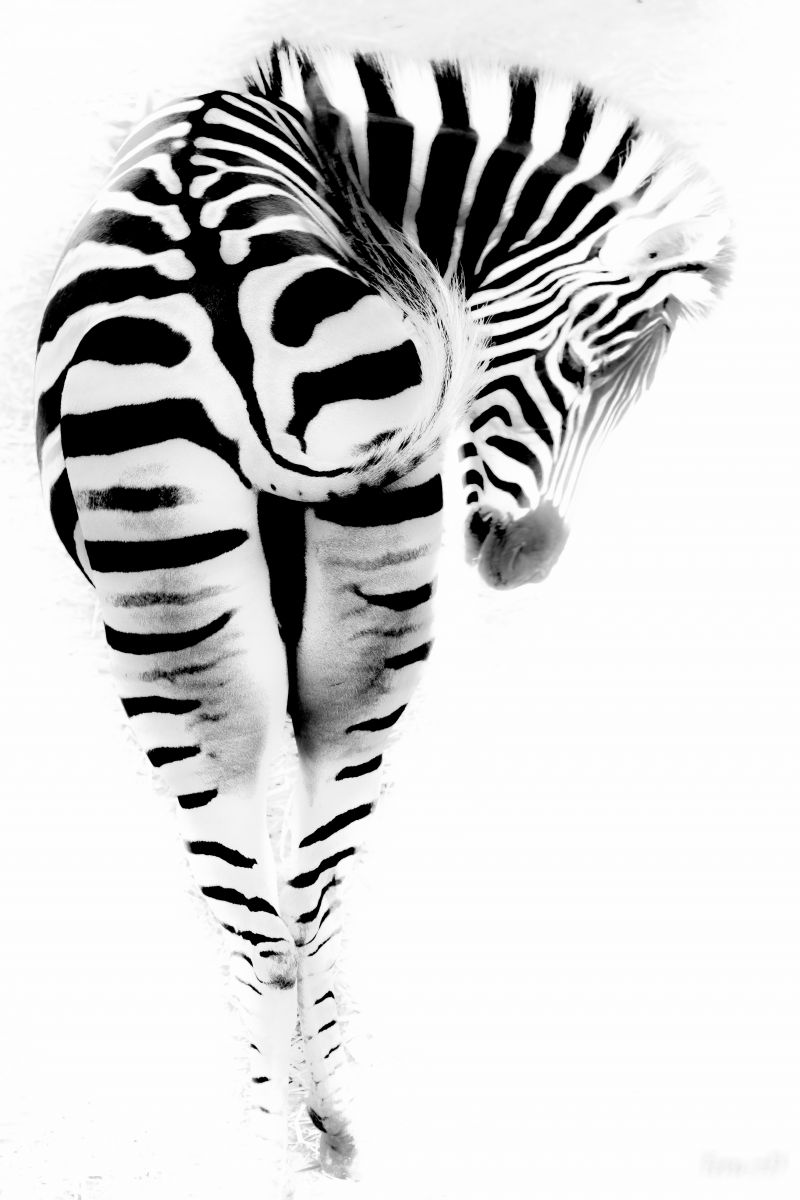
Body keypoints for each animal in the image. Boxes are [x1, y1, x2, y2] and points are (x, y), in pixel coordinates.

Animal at [34, 39, 731, 1191]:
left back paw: (291, 1134)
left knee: (275, 907)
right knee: (299, 891)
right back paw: (315, 1124)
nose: (529, 560)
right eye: (581, 372)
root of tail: (223, 289)